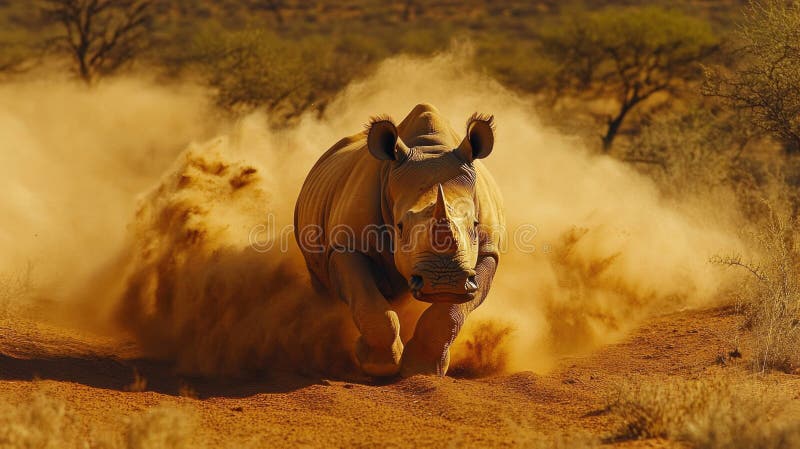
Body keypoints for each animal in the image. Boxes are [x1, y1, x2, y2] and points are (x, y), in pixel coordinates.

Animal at [294, 103, 504, 377]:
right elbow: (369, 304)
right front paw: (378, 365)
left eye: (475, 225)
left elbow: (450, 313)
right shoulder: (346, 246)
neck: (430, 149)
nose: (444, 281)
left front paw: (422, 369)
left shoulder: (487, 251)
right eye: (400, 227)